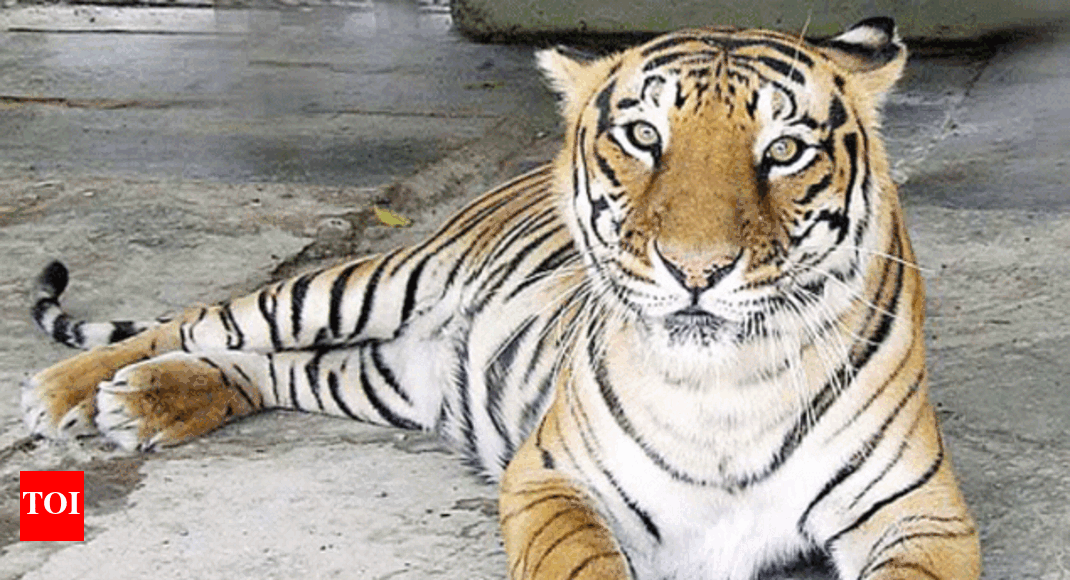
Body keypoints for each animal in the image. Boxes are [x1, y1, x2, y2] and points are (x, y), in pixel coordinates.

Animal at [23, 17, 980, 580]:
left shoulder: (918, 510)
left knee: (268, 369)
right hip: (368, 283)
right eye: (643, 136)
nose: (696, 269)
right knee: (203, 320)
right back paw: (69, 392)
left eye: (783, 150)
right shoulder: (553, 476)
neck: (723, 389)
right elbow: (577, 563)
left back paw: (151, 403)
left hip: (378, 378)